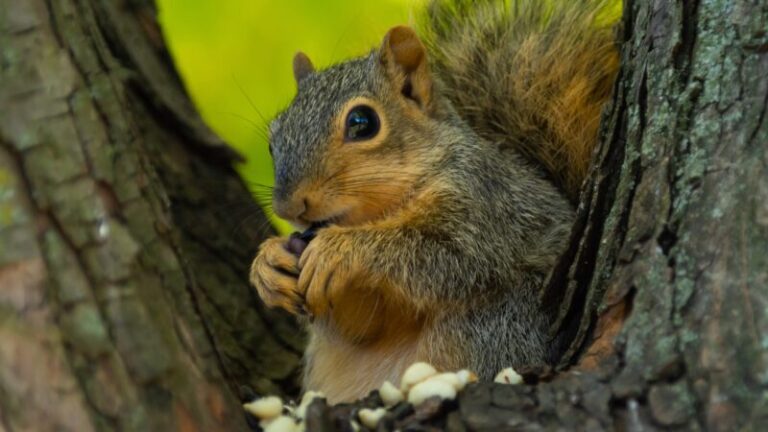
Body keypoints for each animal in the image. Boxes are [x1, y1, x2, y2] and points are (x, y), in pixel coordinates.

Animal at [250, 0, 619, 403]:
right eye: (273, 139)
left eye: (362, 122)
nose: (288, 207)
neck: (382, 208)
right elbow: (360, 324)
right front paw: (268, 264)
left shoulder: (487, 208)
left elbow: (444, 257)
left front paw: (341, 250)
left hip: (500, 323)